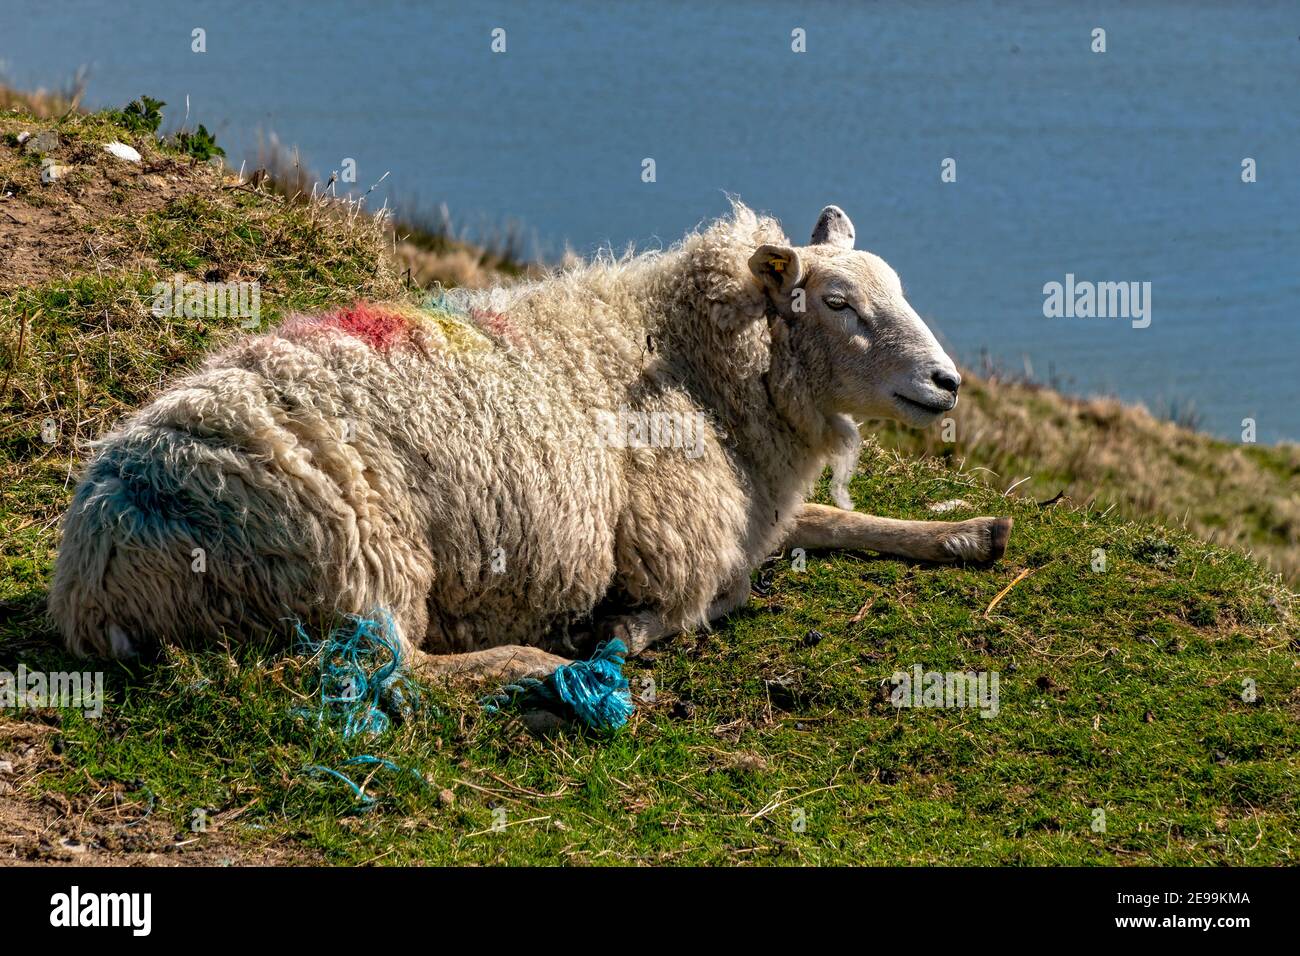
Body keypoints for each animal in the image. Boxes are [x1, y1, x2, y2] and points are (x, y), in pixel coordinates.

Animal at [48, 202, 1011, 681]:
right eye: (839, 304)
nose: (947, 383)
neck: (694, 360)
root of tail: (95, 569)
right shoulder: (675, 536)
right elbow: (698, 601)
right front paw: (621, 634)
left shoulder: (749, 510)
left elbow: (826, 520)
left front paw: (963, 535)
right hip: (357, 555)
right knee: (402, 670)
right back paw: (530, 666)